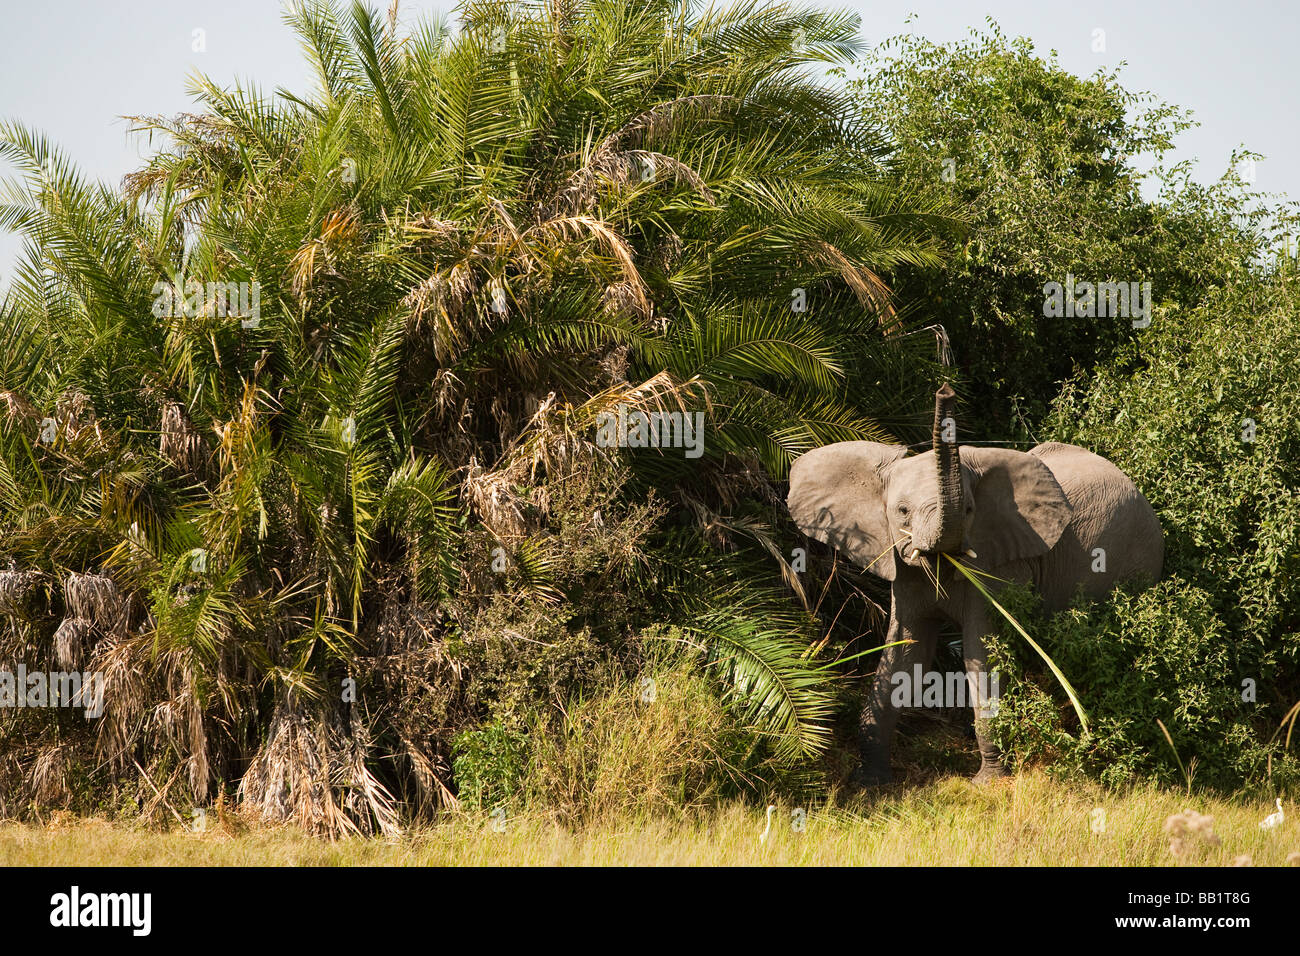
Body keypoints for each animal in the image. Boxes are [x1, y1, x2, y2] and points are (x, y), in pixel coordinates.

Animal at [786, 385, 1163, 786]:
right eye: (902, 511)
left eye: (969, 510)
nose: (945, 389)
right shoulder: (903, 568)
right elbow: (905, 650)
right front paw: (870, 779)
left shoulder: (1003, 564)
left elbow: (980, 651)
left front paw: (990, 781)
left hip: (1140, 558)